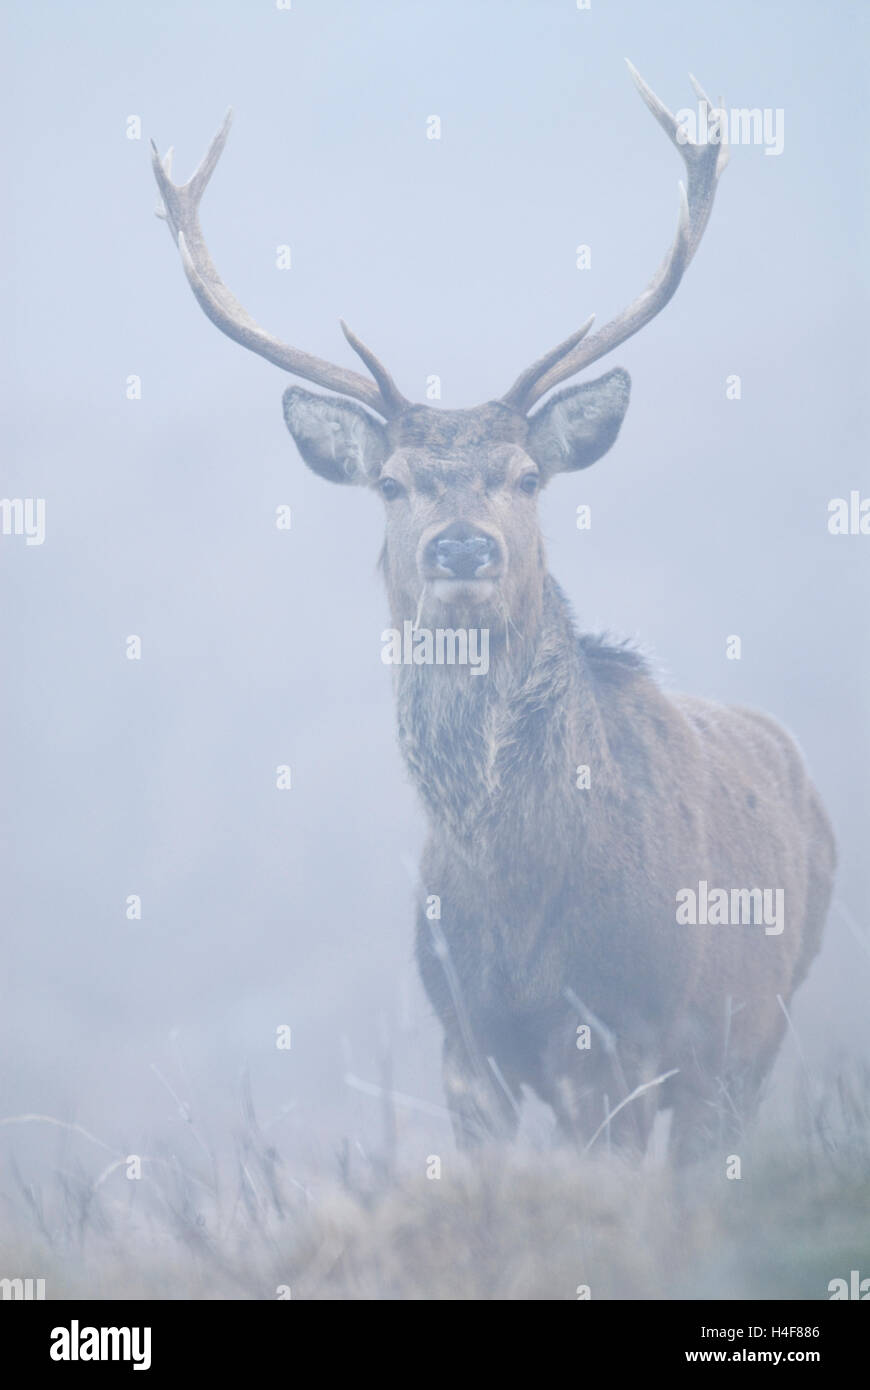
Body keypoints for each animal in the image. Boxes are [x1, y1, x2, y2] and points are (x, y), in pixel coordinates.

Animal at [151, 65, 835, 1162]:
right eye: (391, 482)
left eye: (525, 476)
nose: (464, 545)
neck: (517, 892)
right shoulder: (462, 1037)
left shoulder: (616, 1031)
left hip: (751, 1031)